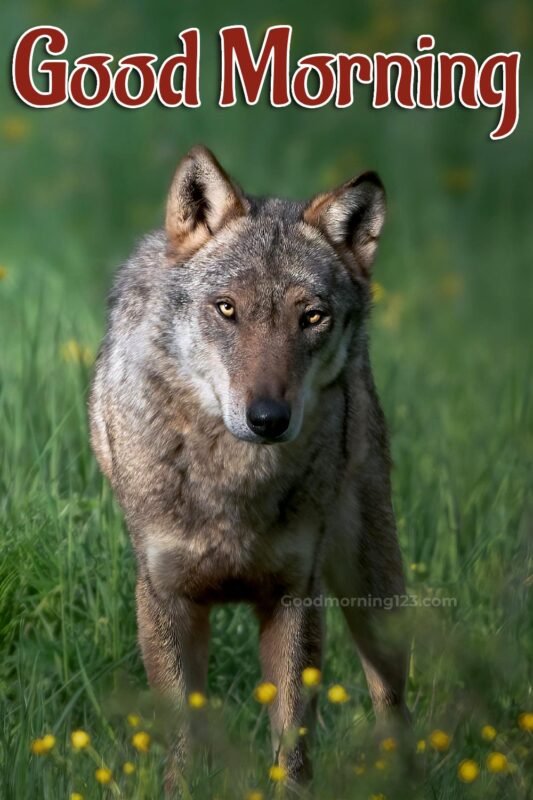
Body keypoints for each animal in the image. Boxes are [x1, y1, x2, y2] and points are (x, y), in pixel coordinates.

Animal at [89, 145, 410, 787]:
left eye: (311, 317)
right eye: (227, 309)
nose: (268, 418)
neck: (233, 487)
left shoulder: (295, 596)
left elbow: (293, 751)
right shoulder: (165, 600)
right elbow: (184, 741)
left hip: (374, 593)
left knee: (394, 703)